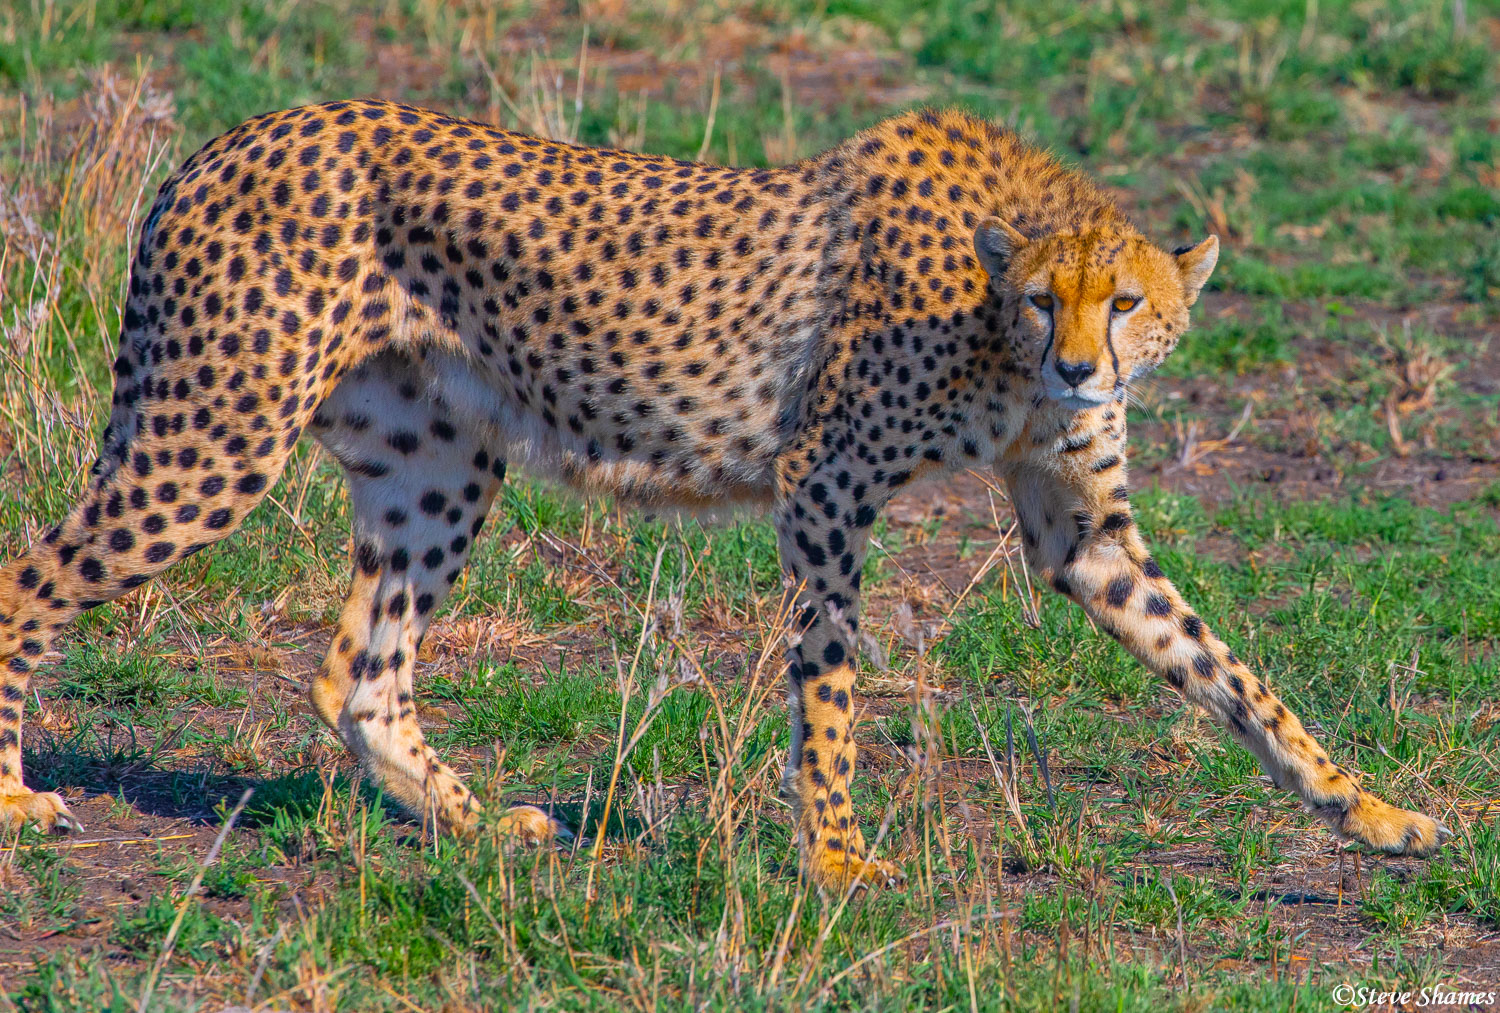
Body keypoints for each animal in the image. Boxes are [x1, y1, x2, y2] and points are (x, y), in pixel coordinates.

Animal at [0, 100, 1449, 890]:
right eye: (1050, 299)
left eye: (1129, 300)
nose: (1086, 365)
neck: (996, 335)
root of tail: (222, 141)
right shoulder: (825, 487)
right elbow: (832, 688)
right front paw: (840, 856)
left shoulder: (1080, 528)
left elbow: (1227, 668)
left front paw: (1367, 808)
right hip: (214, 436)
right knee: (29, 577)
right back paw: (17, 801)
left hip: (436, 460)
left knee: (359, 671)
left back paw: (482, 829)